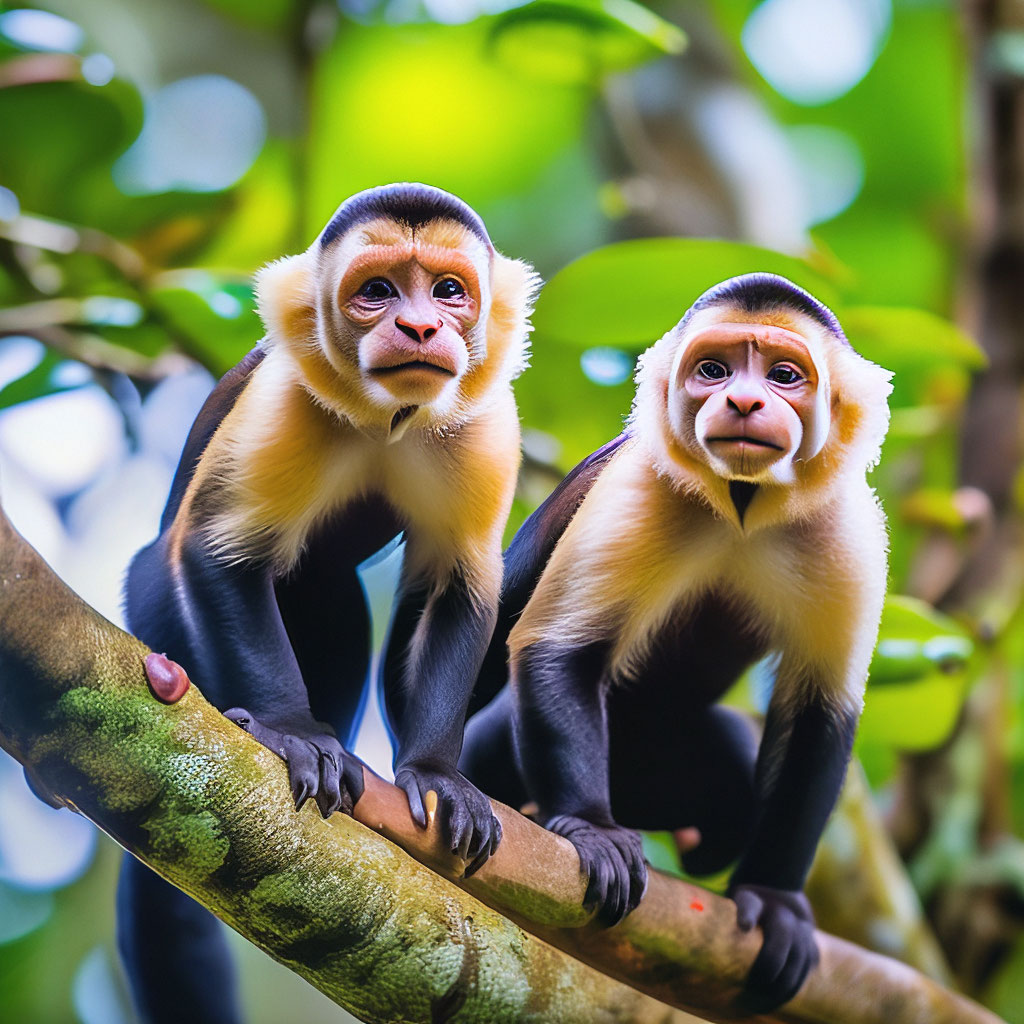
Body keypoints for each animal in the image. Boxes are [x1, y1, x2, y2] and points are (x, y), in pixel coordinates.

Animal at [117, 183, 539, 1024]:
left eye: (449, 291)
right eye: (376, 291)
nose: (420, 326)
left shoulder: (486, 423)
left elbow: (460, 586)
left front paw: (435, 773)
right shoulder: (286, 395)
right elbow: (219, 551)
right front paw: (288, 729)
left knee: (333, 596)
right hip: (148, 600)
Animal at [460, 273, 892, 1011]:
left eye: (784, 376)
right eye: (713, 370)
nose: (743, 400)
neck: (745, 507)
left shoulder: (849, 528)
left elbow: (819, 712)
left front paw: (774, 896)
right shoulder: (642, 481)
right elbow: (555, 652)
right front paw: (591, 828)